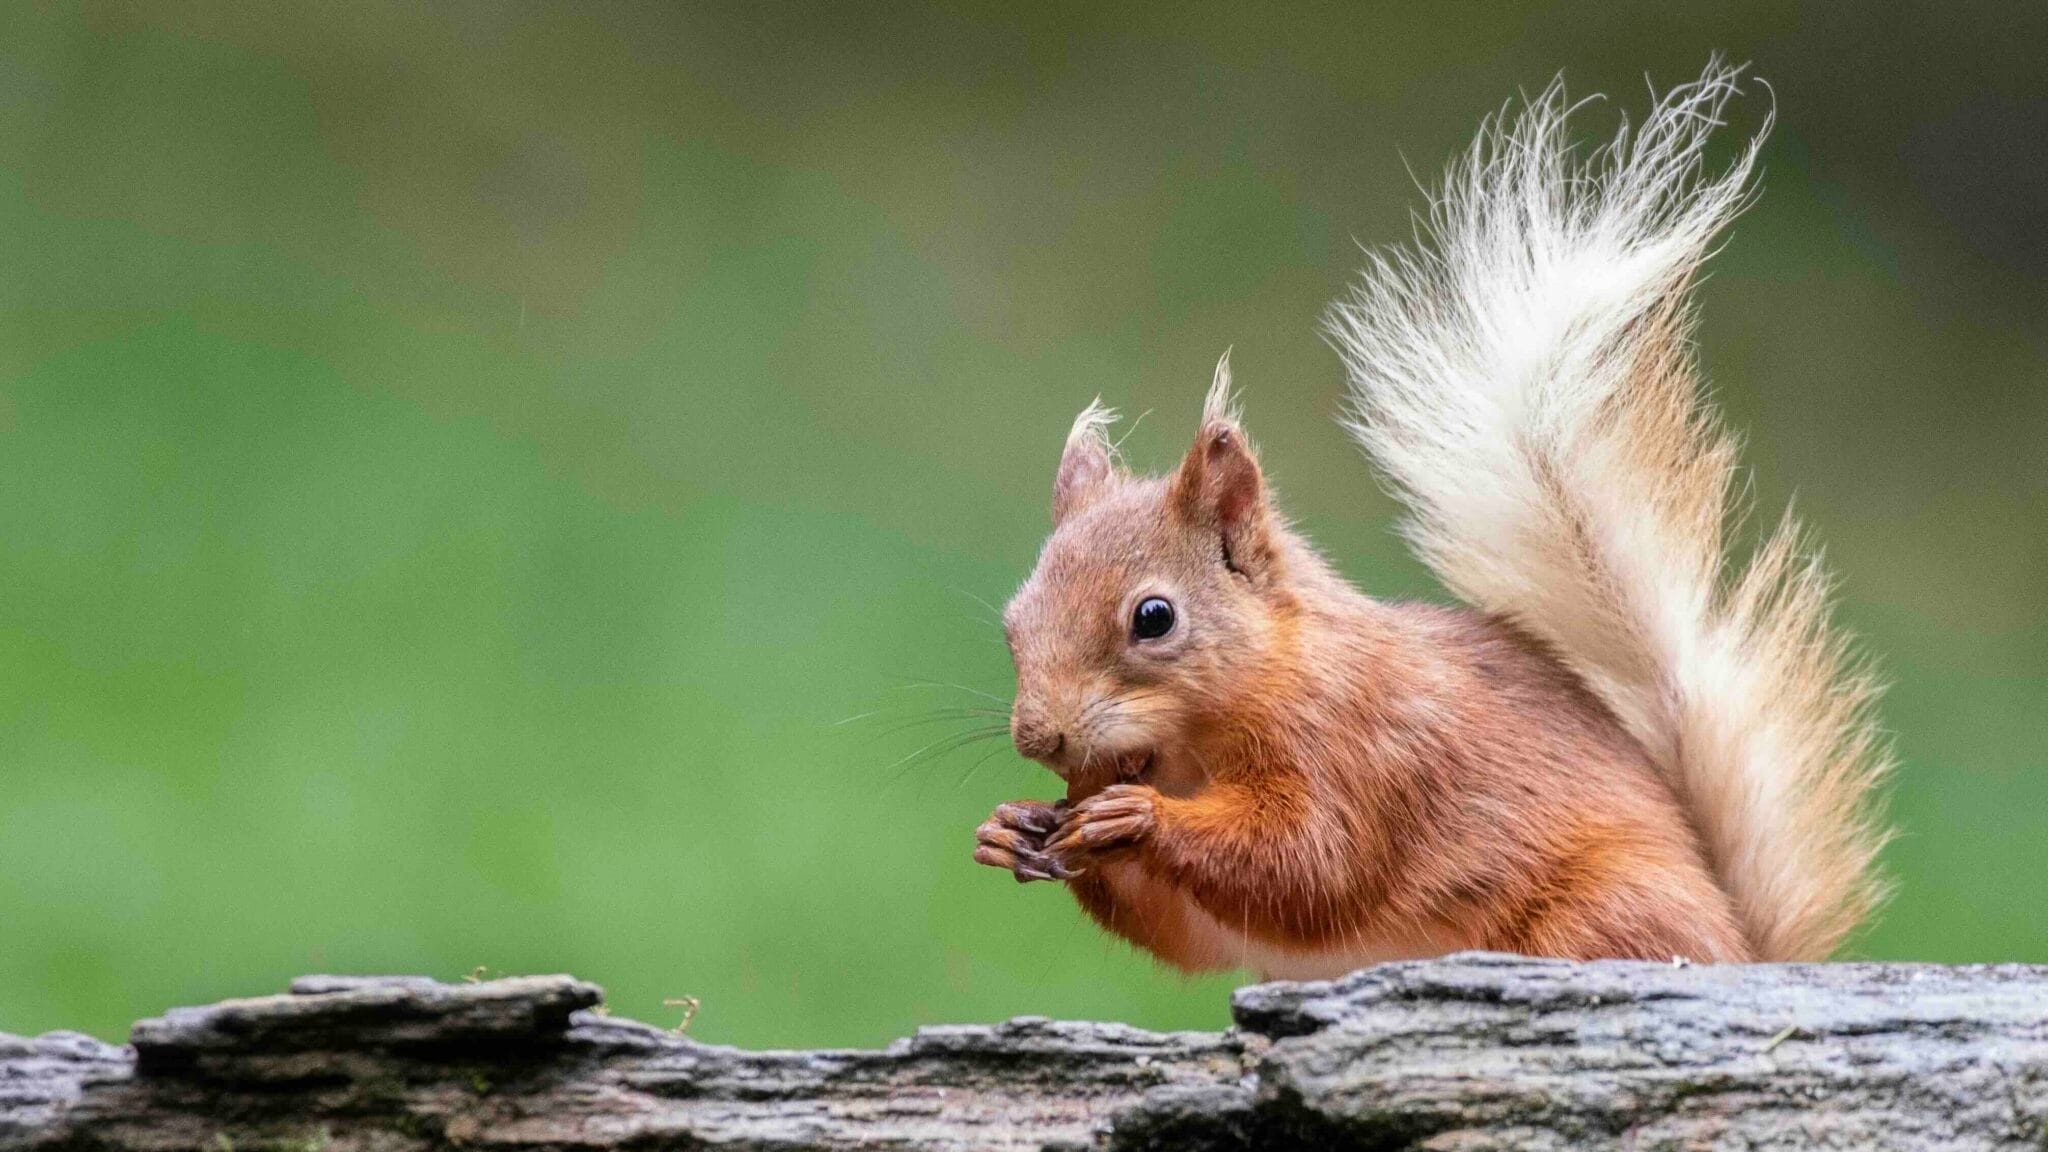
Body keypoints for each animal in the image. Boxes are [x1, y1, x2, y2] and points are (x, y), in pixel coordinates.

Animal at [971, 62, 1892, 972]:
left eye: (1154, 617)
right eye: (1014, 621)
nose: (1039, 738)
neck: (1196, 736)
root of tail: (1741, 953)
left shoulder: (1364, 755)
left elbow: (1307, 862)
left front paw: (1138, 818)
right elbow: (1188, 931)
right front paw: (1014, 829)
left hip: (1605, 912)